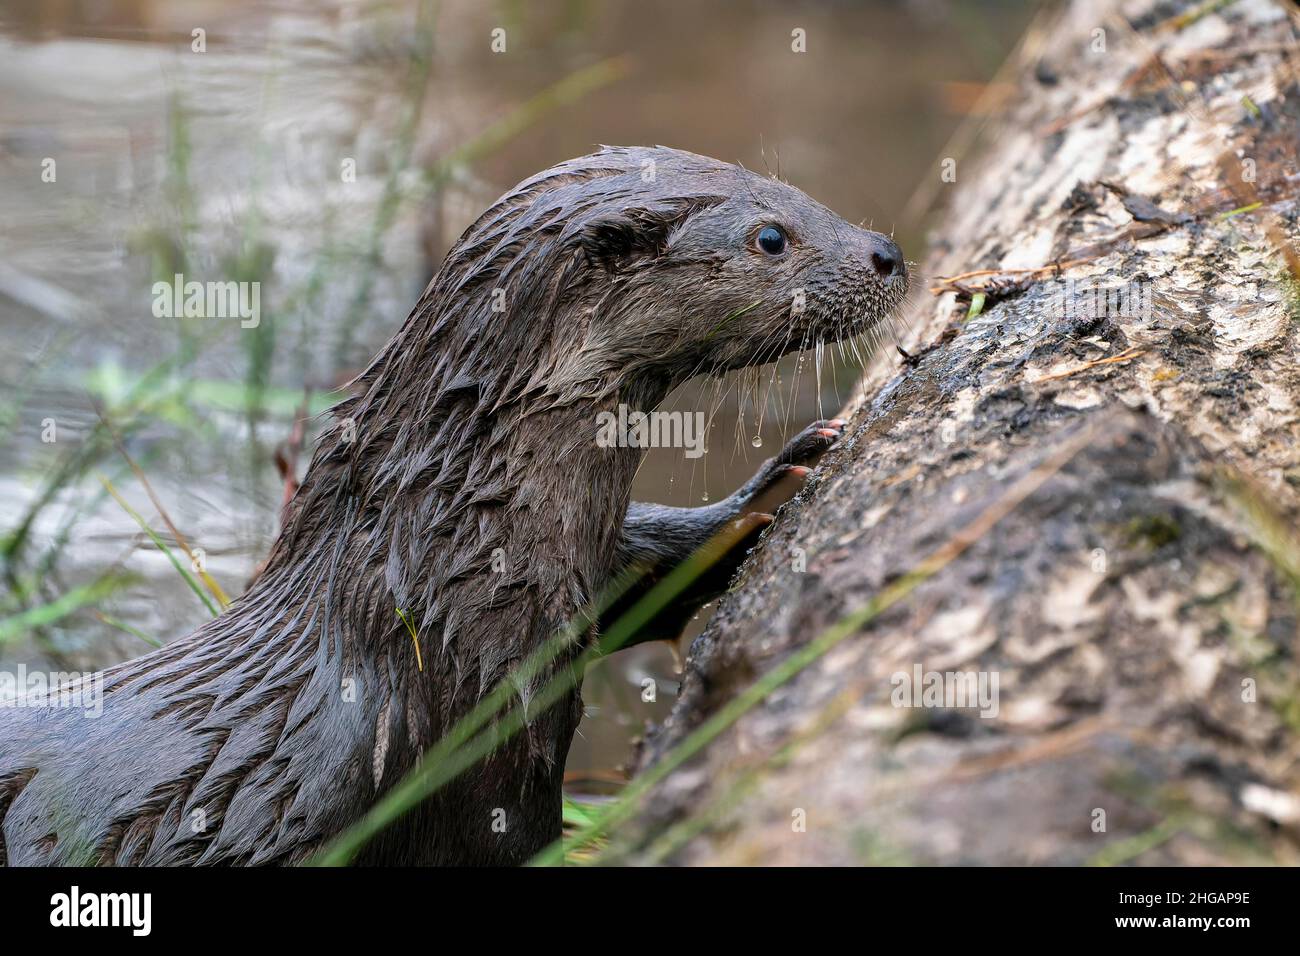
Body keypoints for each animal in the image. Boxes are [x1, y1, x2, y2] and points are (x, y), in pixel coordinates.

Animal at [0, 146, 907, 865]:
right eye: (770, 237)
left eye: (790, 189)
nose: (889, 253)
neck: (435, 576)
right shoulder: (480, 764)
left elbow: (639, 567)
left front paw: (780, 478)